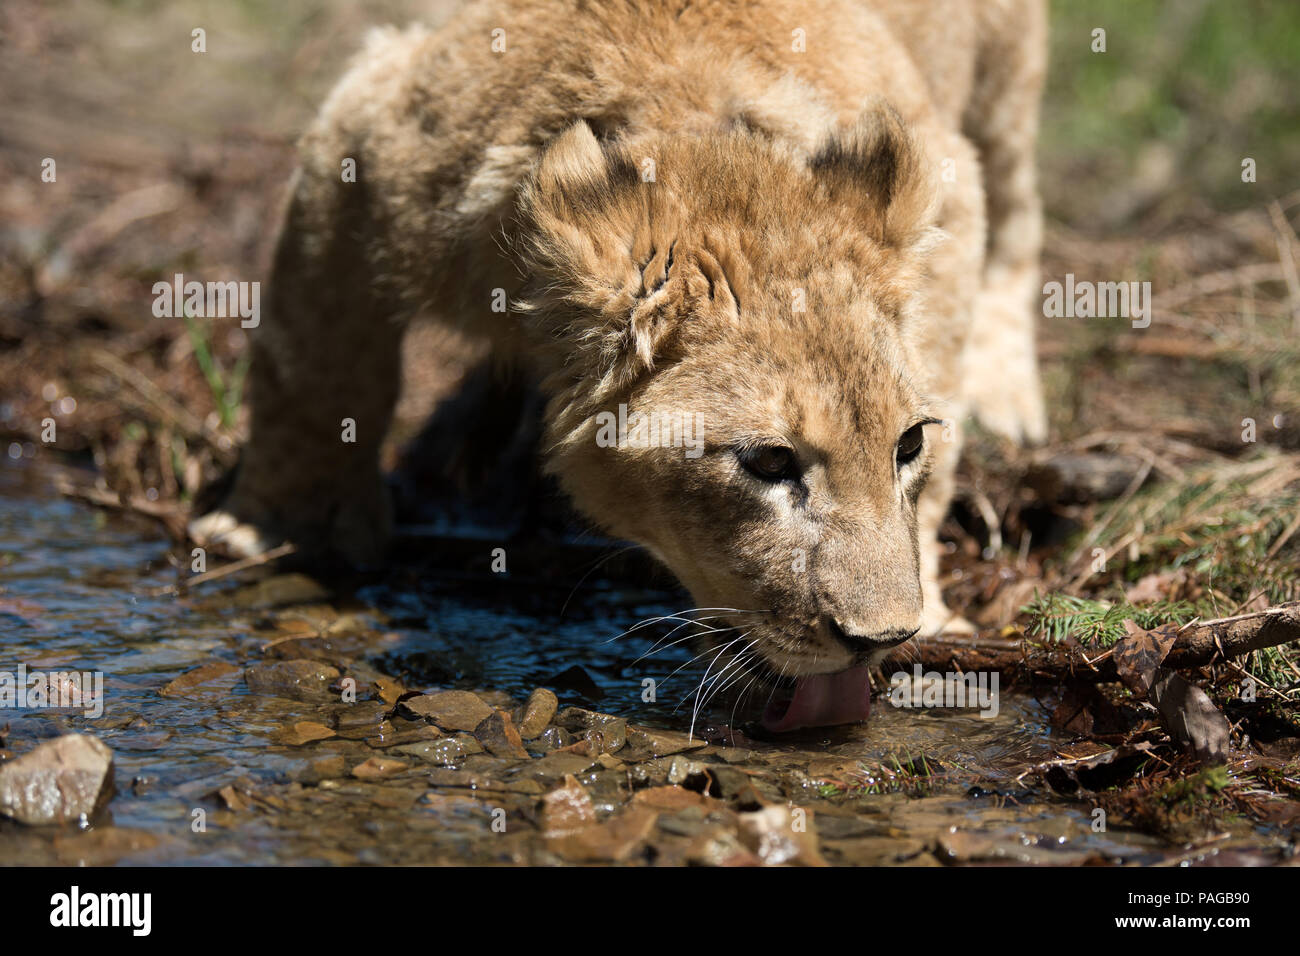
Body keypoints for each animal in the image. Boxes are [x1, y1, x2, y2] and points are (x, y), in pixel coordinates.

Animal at [190, 0, 1048, 731]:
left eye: (908, 444)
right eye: (771, 462)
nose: (880, 638)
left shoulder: (952, 185)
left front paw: (936, 608)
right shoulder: (369, 133)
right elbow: (314, 363)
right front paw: (270, 526)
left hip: (1006, 70)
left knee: (1020, 213)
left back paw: (1008, 394)